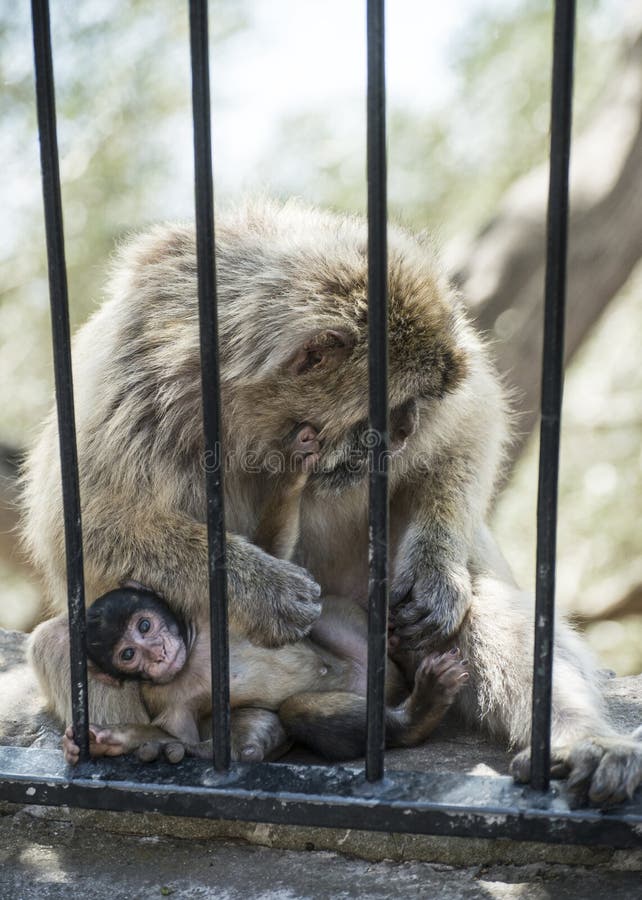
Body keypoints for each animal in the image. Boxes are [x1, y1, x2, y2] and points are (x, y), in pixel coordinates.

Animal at [62, 423, 468, 765]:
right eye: (128, 654)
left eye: (144, 625)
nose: (158, 652)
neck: (191, 656)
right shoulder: (166, 701)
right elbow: (190, 742)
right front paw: (114, 740)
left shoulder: (211, 614)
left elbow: (271, 558)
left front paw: (291, 473)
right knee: (297, 709)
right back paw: (415, 715)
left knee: (327, 614)